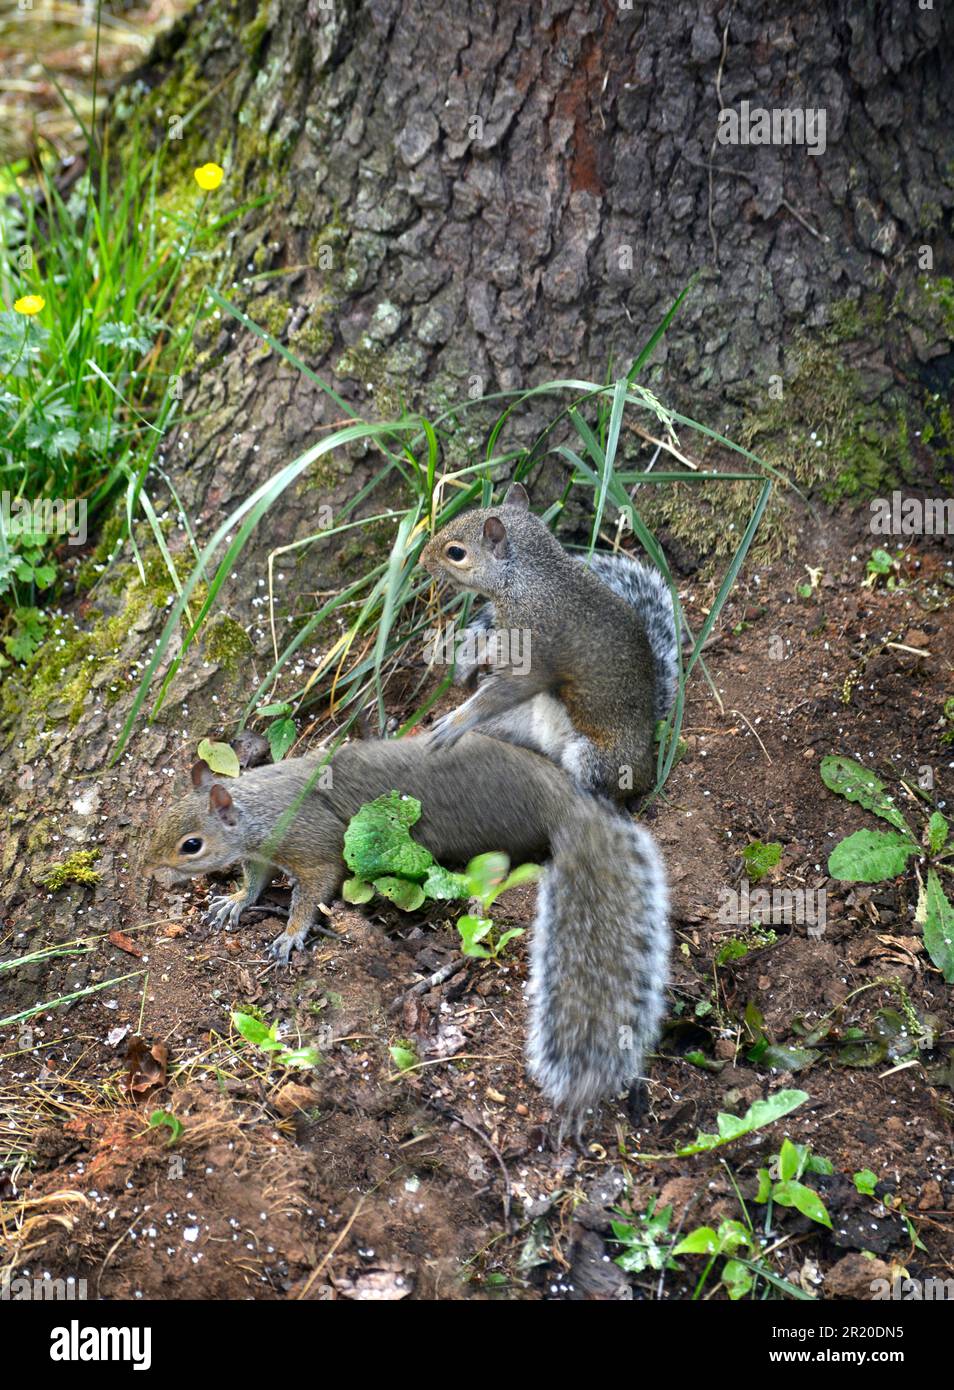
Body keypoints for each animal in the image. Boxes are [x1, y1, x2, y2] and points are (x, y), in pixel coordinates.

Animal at [143, 731, 669, 1134]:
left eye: (191, 845)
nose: (149, 872)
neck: (259, 809)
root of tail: (562, 798)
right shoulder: (260, 856)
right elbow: (253, 883)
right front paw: (234, 902)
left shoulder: (310, 845)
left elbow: (313, 889)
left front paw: (290, 934)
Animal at [420, 482, 677, 801]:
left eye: (455, 552)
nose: (422, 561)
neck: (525, 580)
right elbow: (495, 645)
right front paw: (471, 660)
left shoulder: (537, 648)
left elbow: (512, 687)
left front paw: (456, 721)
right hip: (511, 721)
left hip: (596, 759)